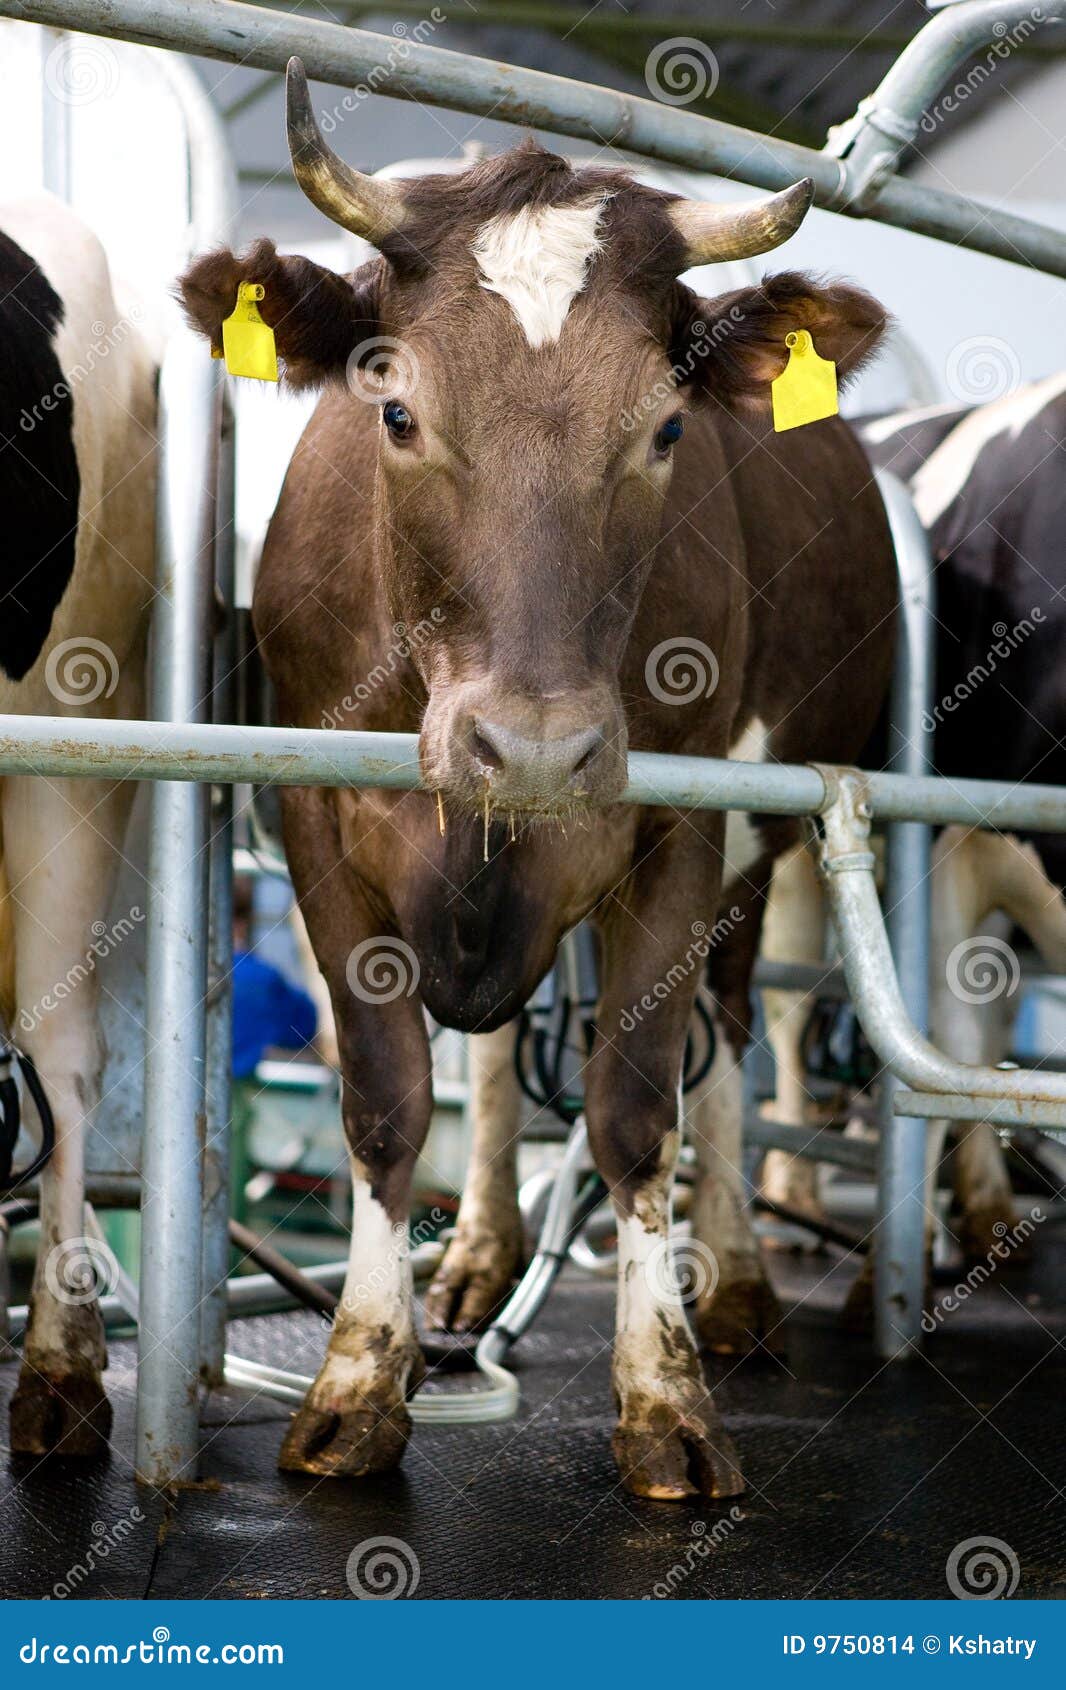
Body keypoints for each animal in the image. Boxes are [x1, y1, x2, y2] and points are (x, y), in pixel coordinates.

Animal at [180, 58, 896, 1499]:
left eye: (666, 427)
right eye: (395, 410)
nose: (538, 748)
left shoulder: (679, 821)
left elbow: (633, 1112)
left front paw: (664, 1400)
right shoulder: (311, 818)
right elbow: (388, 1098)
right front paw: (358, 1380)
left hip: (755, 844)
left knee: (727, 1030)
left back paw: (738, 1282)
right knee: (502, 1050)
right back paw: (476, 1262)